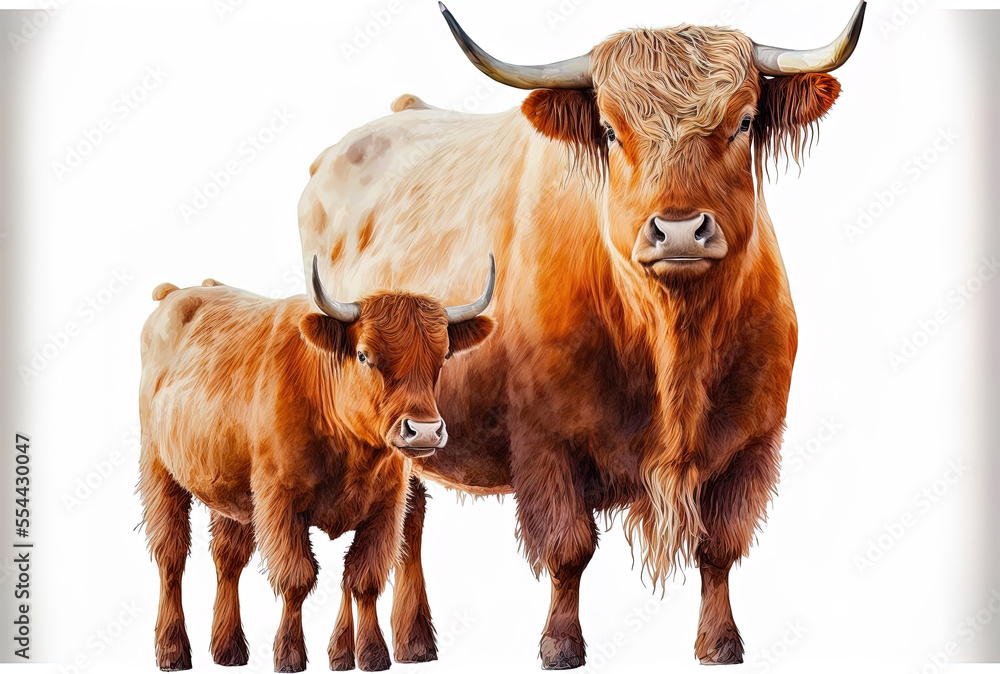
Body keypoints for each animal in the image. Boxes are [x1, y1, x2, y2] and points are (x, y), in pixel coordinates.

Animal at [137, 256, 496, 672]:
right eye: (364, 355)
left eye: (441, 358)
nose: (423, 431)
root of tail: (177, 293)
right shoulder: (280, 503)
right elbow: (297, 578)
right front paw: (290, 655)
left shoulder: (386, 509)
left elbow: (364, 578)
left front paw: (370, 654)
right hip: (160, 471)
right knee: (171, 556)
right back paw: (172, 651)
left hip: (228, 490)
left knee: (228, 559)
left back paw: (229, 650)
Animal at [297, 2, 866, 668]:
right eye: (612, 131)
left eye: (745, 121)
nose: (678, 231)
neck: (672, 341)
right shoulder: (547, 442)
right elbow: (570, 548)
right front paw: (560, 645)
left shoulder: (754, 440)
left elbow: (720, 546)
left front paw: (721, 644)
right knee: (408, 523)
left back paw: (415, 642)